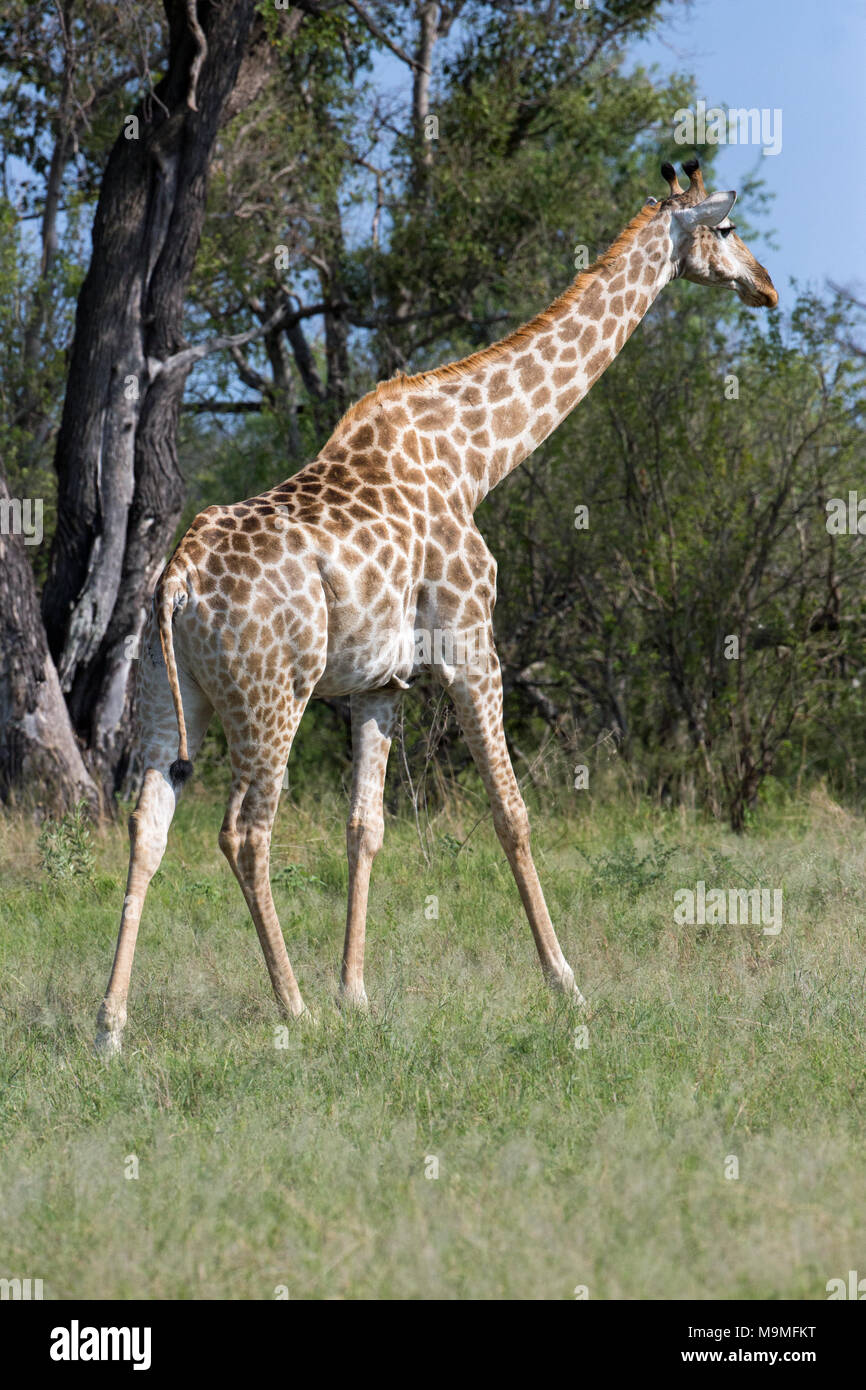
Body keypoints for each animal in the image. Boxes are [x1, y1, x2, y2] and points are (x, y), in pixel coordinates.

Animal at [94, 159, 778, 1050]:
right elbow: (512, 813)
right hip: (269, 695)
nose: (766, 287)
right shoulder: (472, 646)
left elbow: (366, 828)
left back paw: (111, 1025)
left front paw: (356, 992)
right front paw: (565, 984)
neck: (477, 456)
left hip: (167, 698)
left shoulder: (379, 687)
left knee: (147, 824)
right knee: (244, 830)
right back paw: (291, 1008)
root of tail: (174, 580)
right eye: (727, 228)